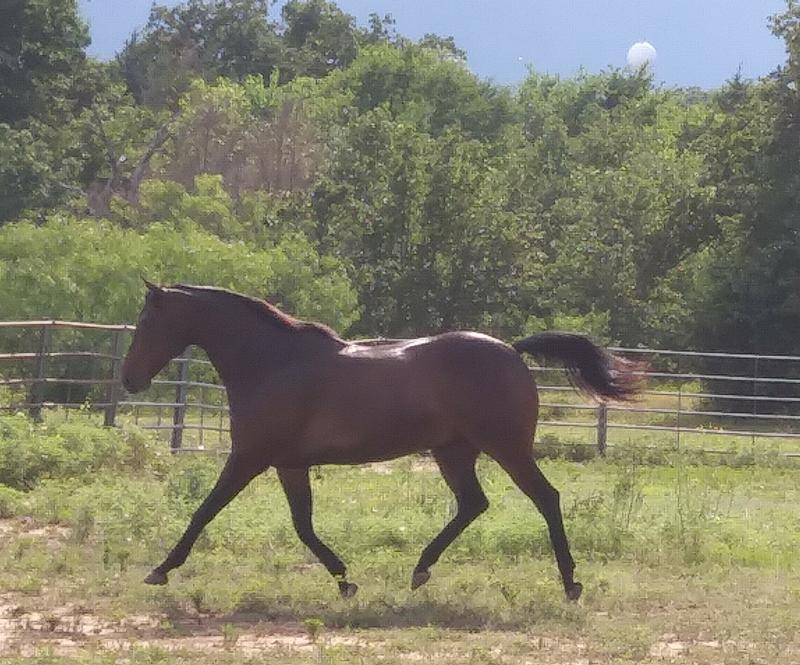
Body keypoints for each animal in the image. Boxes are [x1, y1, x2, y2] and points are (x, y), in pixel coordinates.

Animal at [121, 282, 640, 601]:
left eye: (145, 323)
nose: (128, 379)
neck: (272, 364)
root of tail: (512, 351)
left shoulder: (249, 457)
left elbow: (204, 511)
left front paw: (160, 569)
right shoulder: (289, 464)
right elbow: (303, 526)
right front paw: (345, 582)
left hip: (507, 449)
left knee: (545, 498)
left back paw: (570, 583)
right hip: (454, 452)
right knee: (473, 504)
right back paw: (421, 569)